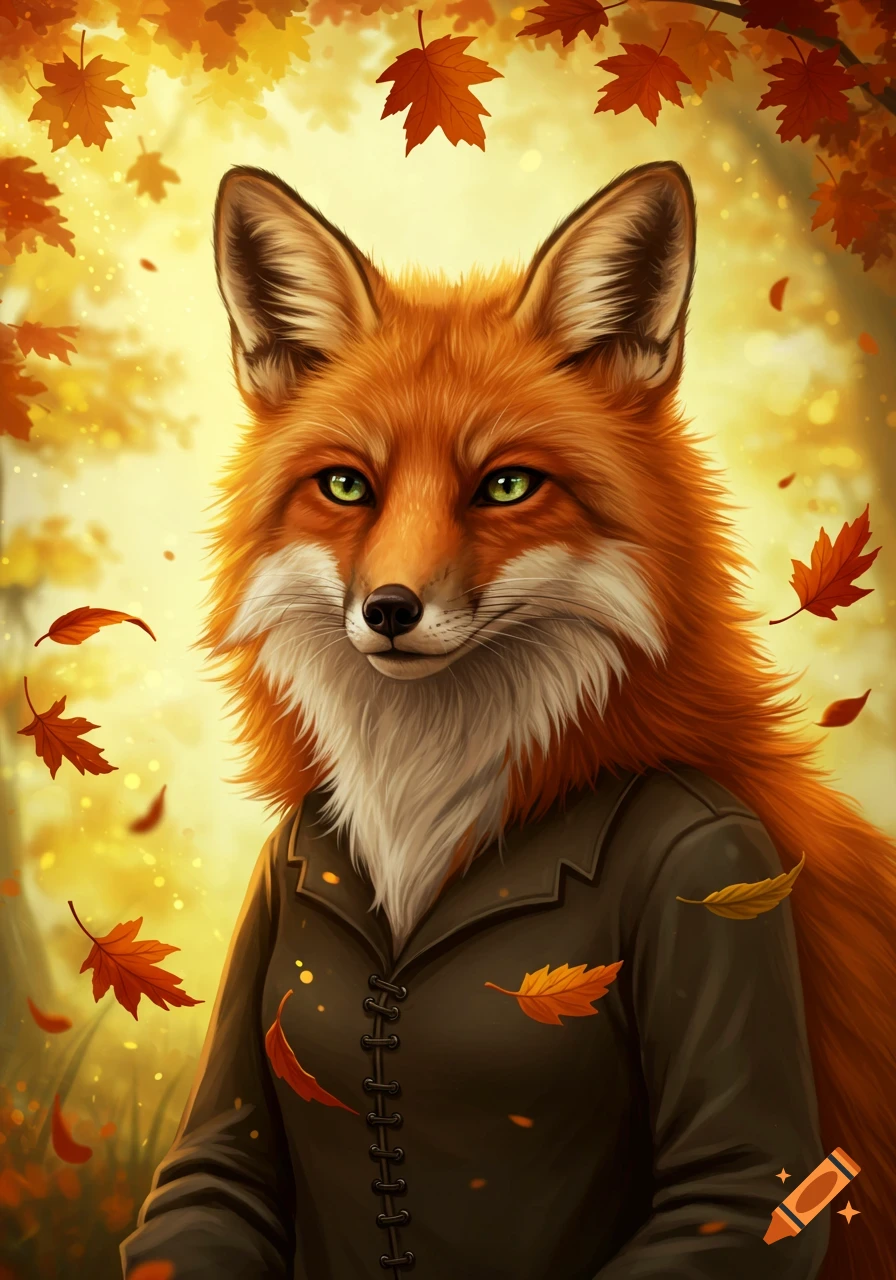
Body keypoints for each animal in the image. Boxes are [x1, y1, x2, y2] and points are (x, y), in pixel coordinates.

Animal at [125, 160, 896, 1279]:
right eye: (346, 485)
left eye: (506, 485)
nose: (389, 610)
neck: (428, 802)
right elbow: (213, 1159)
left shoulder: (720, 878)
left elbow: (743, 1180)